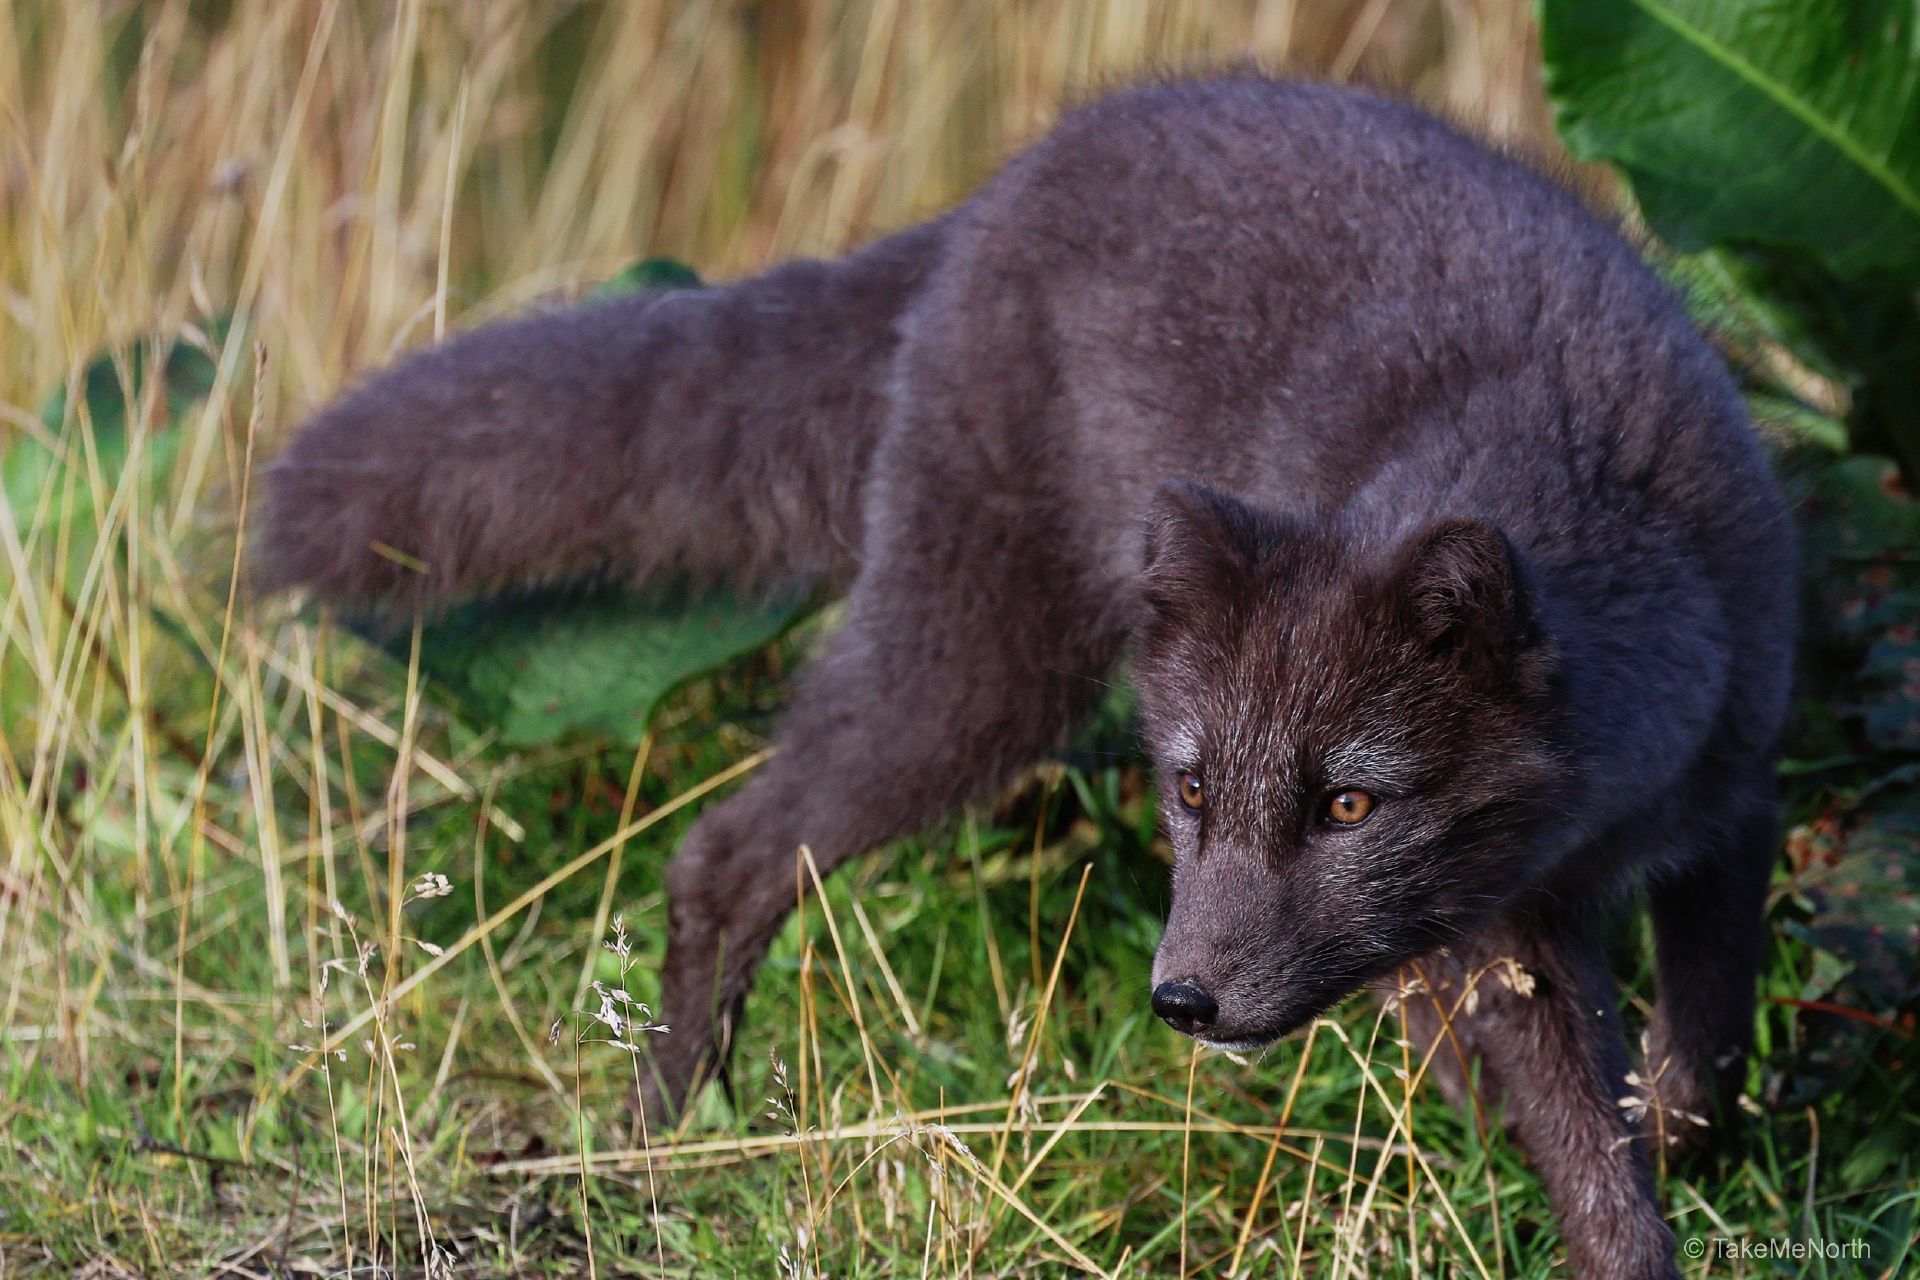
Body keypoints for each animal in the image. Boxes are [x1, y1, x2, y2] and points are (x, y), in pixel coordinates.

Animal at [261, 76, 1795, 1279]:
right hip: (973, 678)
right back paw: (665, 1118)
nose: (1183, 1002)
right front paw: (1611, 1213)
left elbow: (1698, 1073)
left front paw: (1660, 1139)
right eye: (1192, 791)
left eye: (1350, 805)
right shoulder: (1516, 928)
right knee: (728, 851)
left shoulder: (1724, 812)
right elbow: (1597, 1153)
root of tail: (1004, 188)